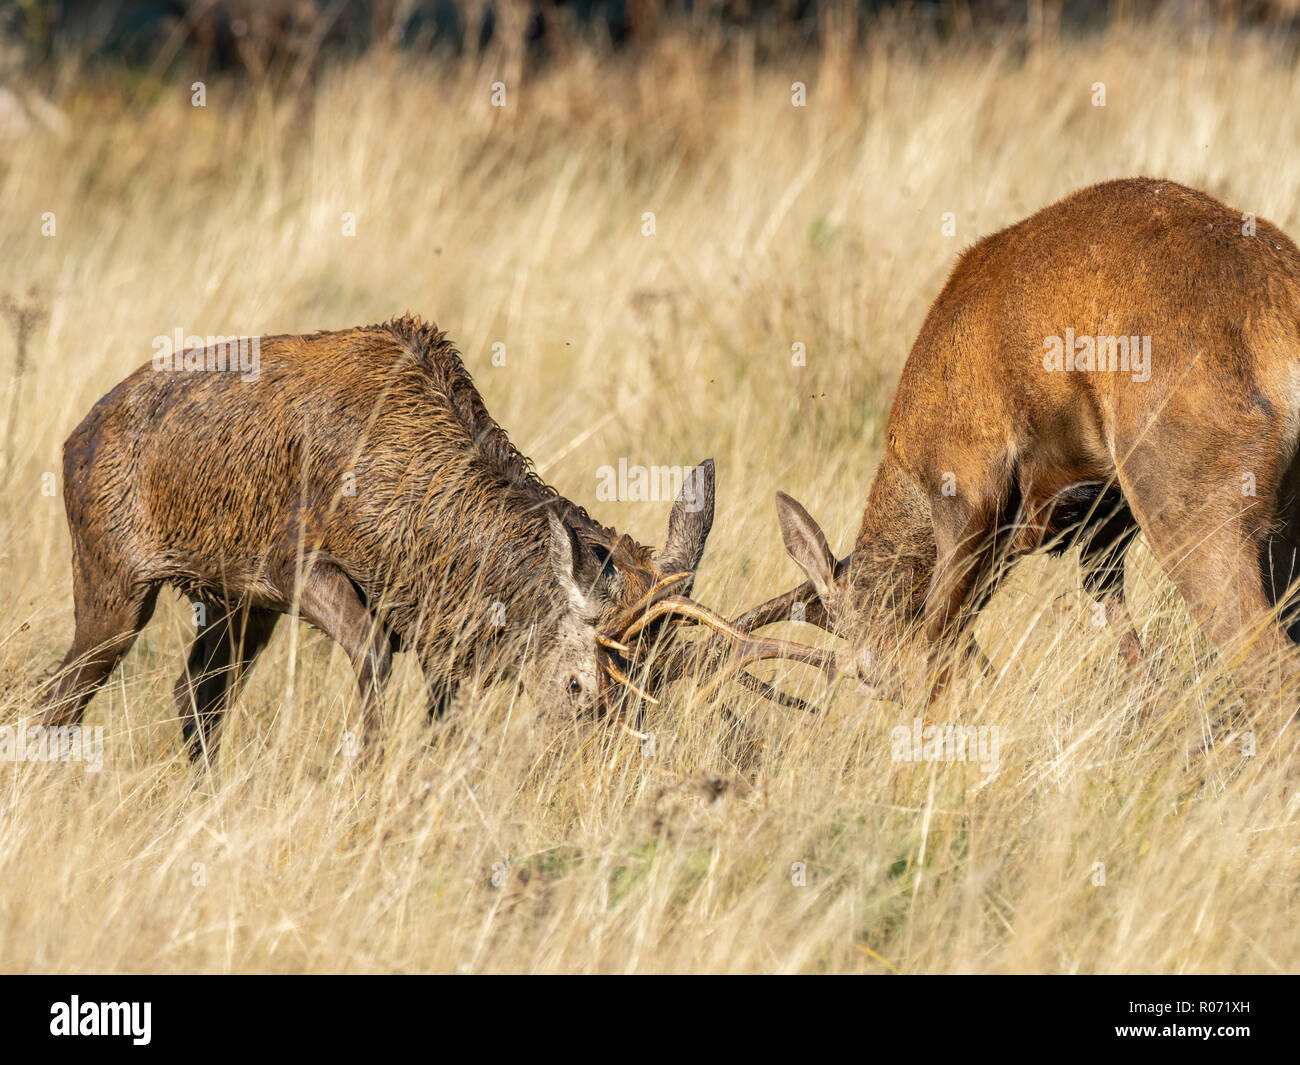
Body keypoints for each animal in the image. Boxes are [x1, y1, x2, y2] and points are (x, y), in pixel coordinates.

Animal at [40, 315, 836, 763]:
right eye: (578, 685)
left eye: (649, 693)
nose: (590, 766)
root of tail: (74, 434)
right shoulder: (294, 563)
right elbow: (371, 657)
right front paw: (364, 774)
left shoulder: (436, 628)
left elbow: (440, 715)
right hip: (115, 573)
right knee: (58, 692)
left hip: (234, 607)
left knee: (192, 698)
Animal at [731, 178, 1300, 751]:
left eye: (863, 667)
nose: (881, 681)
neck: (908, 465)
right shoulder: (1098, 524)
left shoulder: (965, 483)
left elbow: (938, 639)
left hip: (1182, 483)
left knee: (1269, 669)